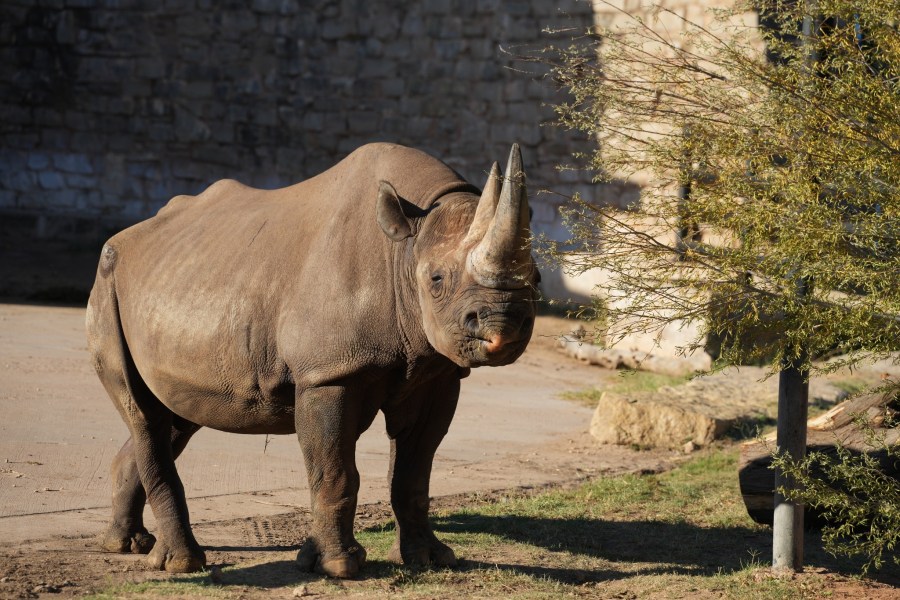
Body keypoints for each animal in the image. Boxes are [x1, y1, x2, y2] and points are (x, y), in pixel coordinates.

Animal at [86, 143, 538, 577]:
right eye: (436, 280)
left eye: (536, 279)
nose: (503, 325)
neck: (405, 246)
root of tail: (124, 237)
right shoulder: (329, 374)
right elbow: (335, 472)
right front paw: (338, 567)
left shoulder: (436, 373)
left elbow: (413, 473)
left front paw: (431, 558)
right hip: (108, 285)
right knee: (144, 414)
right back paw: (181, 563)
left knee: (176, 414)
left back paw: (126, 544)